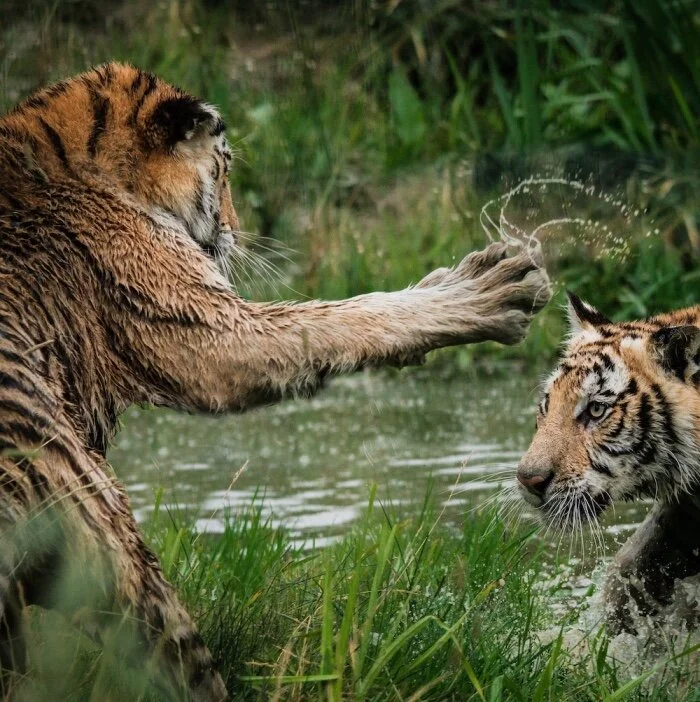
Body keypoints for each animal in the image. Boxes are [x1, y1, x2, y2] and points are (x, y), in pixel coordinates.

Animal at [0, 62, 551, 699]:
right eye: (223, 170)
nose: (237, 231)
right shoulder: (208, 329)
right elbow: (340, 317)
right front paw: (487, 290)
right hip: (102, 529)